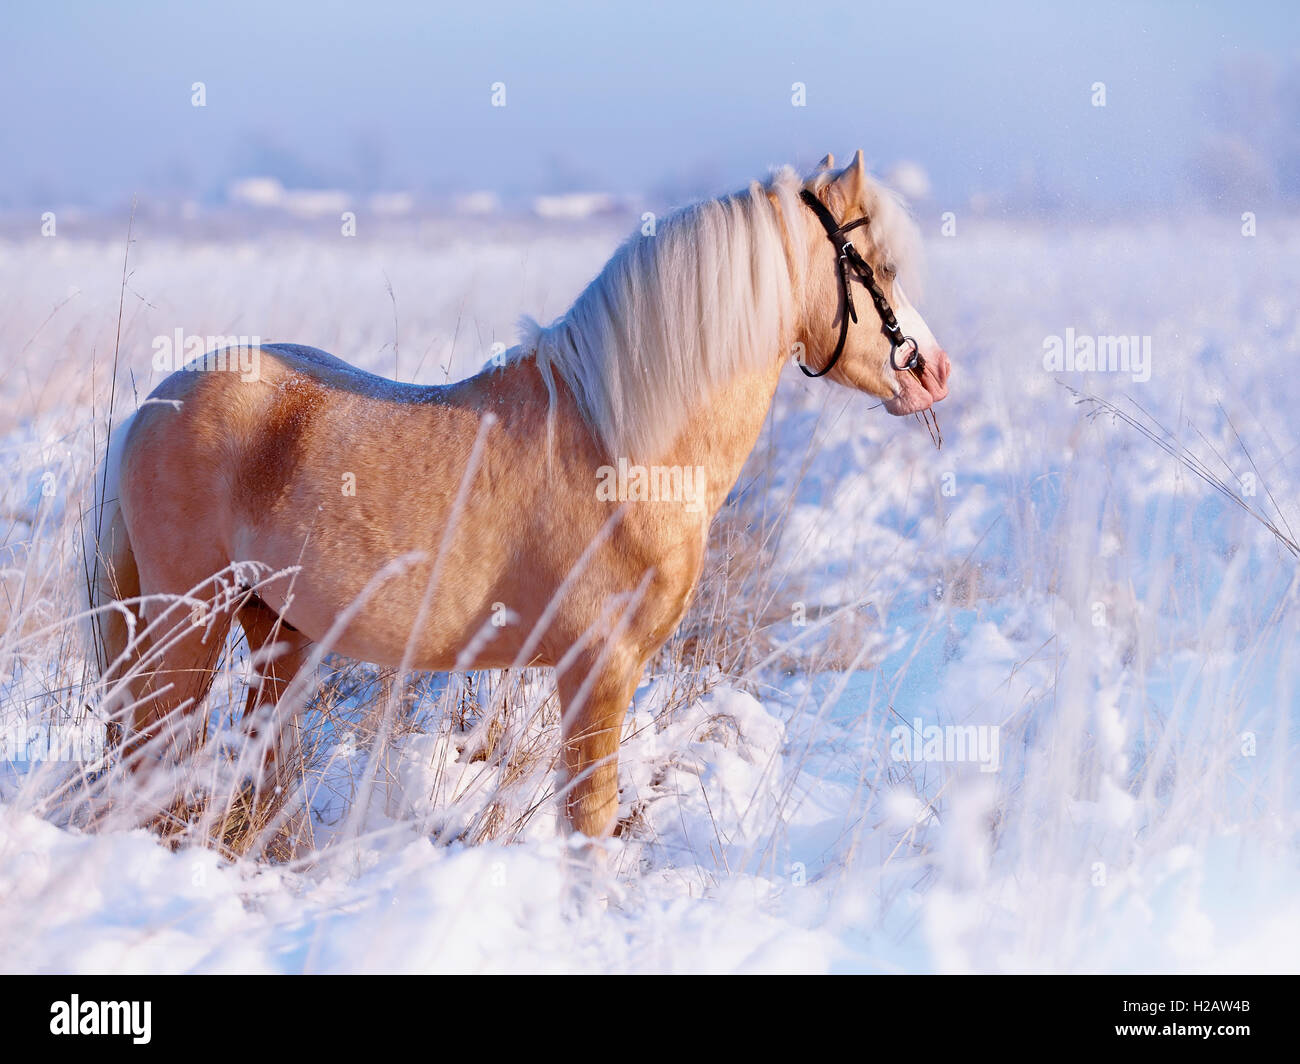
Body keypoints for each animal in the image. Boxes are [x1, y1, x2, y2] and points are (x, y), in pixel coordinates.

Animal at [87, 150, 951, 842]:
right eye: (878, 267)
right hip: (183, 629)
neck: (620, 444)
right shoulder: (597, 669)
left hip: (277, 634)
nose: (935, 372)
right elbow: (589, 825)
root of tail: (153, 405)